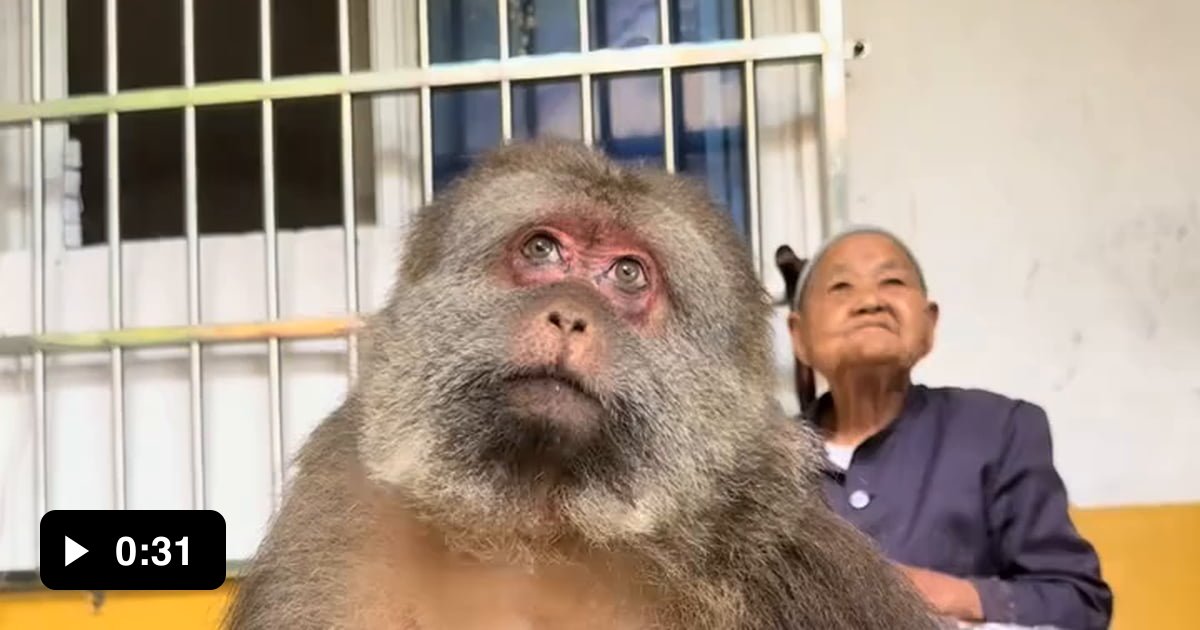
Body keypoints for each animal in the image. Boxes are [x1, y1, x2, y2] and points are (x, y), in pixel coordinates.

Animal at [223, 139, 944, 630]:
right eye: (542, 250)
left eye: (627, 274)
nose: (570, 315)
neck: (541, 526)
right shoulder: (341, 513)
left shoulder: (793, 555)